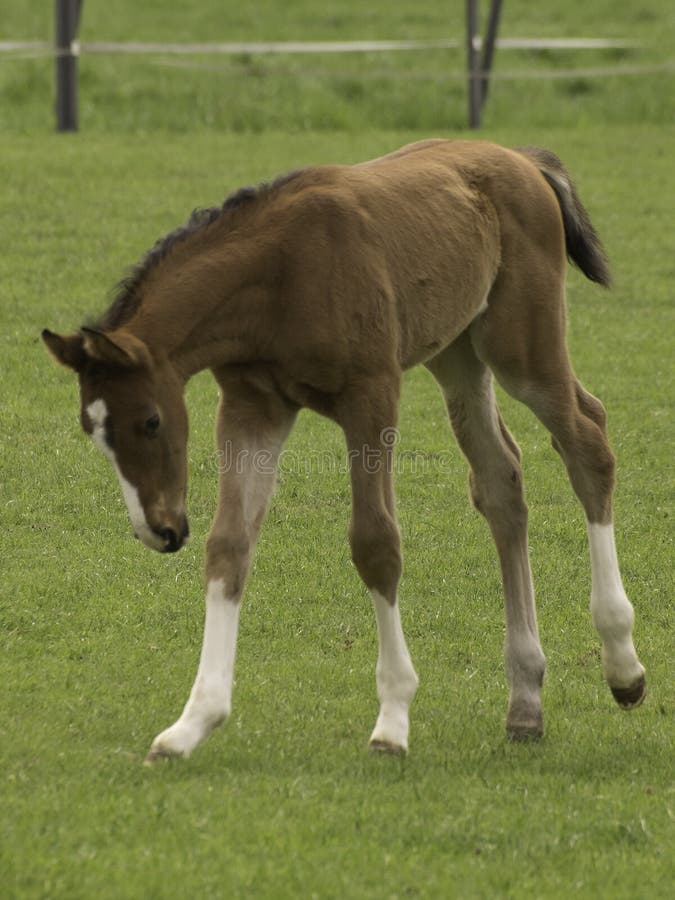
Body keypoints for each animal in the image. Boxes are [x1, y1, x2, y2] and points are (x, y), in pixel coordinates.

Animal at [42, 139, 646, 762]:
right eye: (92, 431)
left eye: (151, 421)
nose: (159, 531)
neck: (278, 277)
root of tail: (522, 158)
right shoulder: (252, 405)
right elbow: (229, 545)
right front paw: (193, 722)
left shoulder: (371, 395)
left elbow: (375, 544)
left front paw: (393, 719)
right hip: (456, 352)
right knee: (501, 480)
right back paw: (525, 700)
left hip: (520, 345)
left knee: (587, 440)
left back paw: (623, 665)